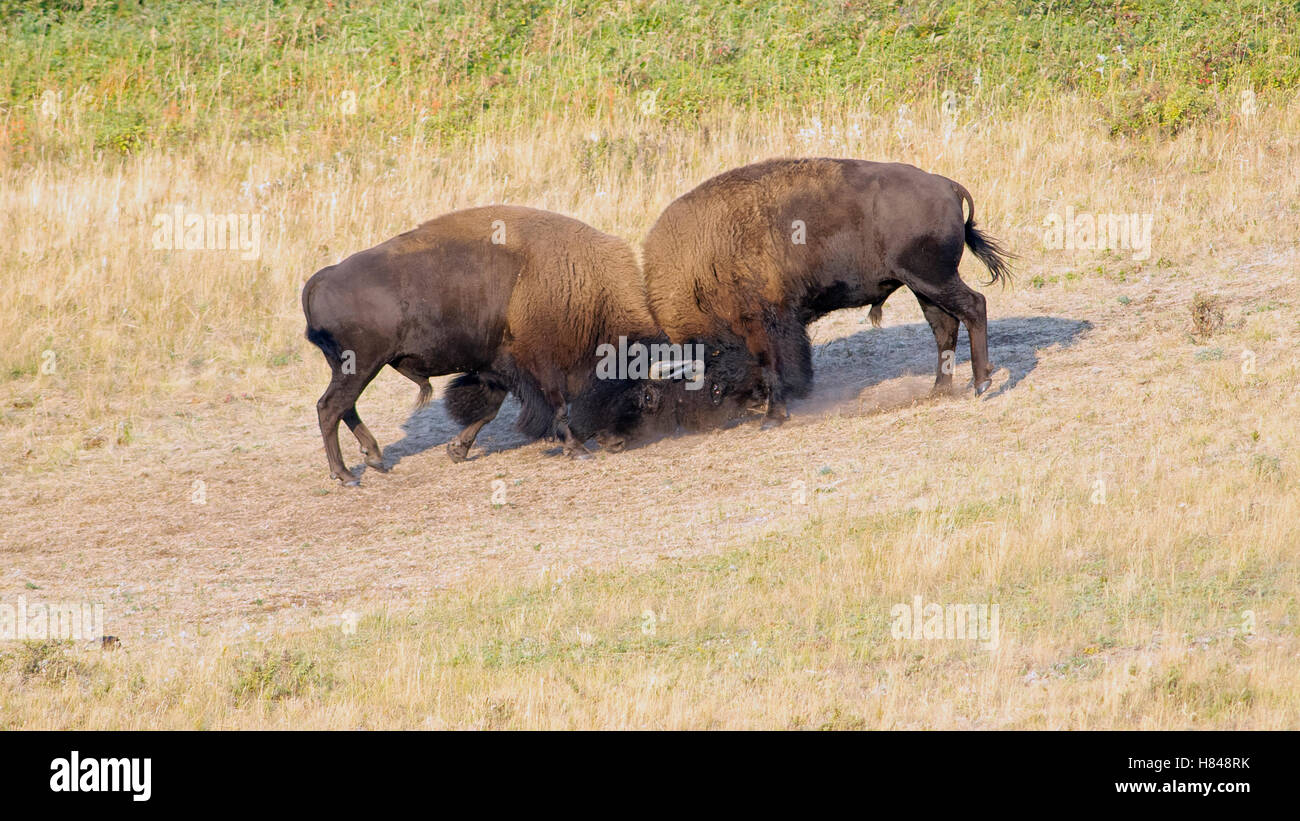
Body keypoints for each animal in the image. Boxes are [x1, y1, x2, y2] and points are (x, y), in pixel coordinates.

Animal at [302, 205, 681, 485]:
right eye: (642, 392)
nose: (618, 443)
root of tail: (322, 278)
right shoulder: (539, 366)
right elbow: (557, 406)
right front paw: (577, 449)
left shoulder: (500, 368)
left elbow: (489, 410)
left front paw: (458, 450)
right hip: (361, 366)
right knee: (330, 408)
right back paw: (346, 475)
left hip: (354, 368)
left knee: (343, 407)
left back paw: (375, 459)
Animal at [642, 158, 1012, 428]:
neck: (699, 267)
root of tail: (946, 185)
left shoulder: (766, 325)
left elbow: (774, 365)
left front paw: (773, 417)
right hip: (923, 287)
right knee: (945, 328)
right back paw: (939, 391)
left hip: (934, 279)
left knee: (974, 306)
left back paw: (982, 383)